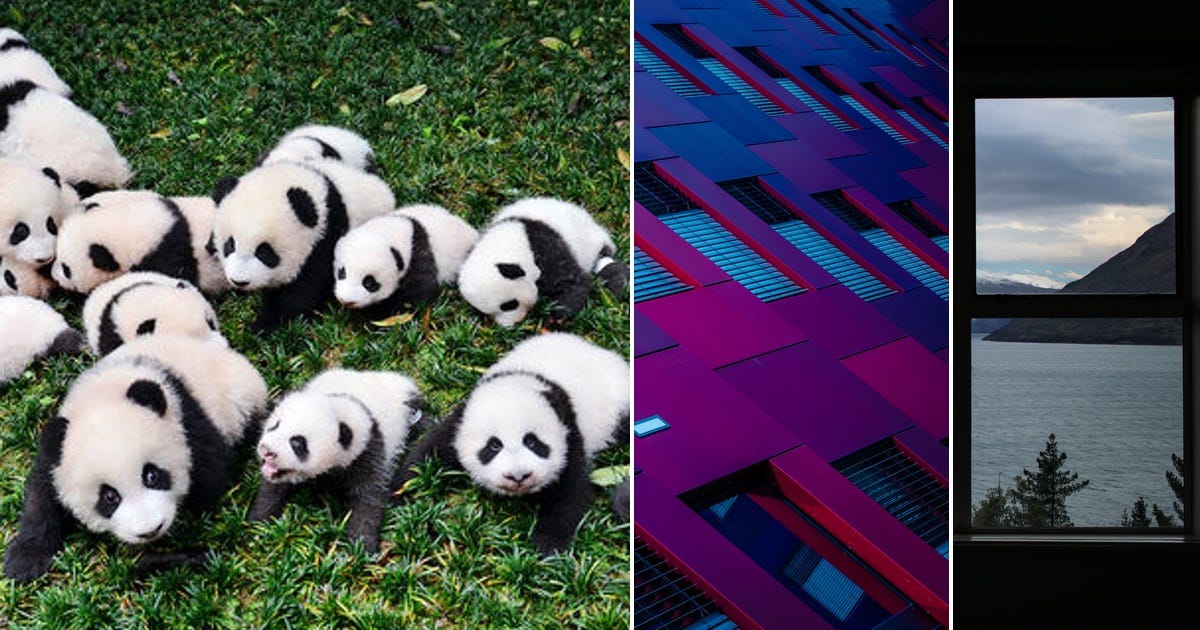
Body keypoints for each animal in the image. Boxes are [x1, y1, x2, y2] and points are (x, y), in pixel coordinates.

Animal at [1, 334, 268, 582]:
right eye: (109, 497)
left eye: (152, 475)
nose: (150, 530)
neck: (103, 396)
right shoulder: (57, 454)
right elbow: (41, 496)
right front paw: (23, 562)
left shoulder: (186, 418)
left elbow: (212, 476)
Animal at [211, 159, 395, 332]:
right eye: (230, 245)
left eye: (264, 253)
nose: (239, 281)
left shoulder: (325, 239)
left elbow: (300, 293)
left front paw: (263, 325)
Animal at [249, 368, 424, 552]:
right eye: (274, 426)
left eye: (297, 443)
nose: (266, 450)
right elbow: (272, 490)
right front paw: (258, 522)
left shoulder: (368, 450)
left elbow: (369, 497)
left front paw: (361, 546)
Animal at [395, 332, 629, 556]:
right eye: (494, 446)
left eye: (532, 441)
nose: (518, 477)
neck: (517, 382)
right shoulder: (461, 420)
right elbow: (428, 452)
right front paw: (398, 492)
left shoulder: (567, 427)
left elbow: (571, 488)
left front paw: (548, 546)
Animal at [457, 197, 629, 327]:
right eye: (486, 313)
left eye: (509, 304)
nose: (511, 325)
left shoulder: (547, 249)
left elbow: (575, 281)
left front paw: (557, 315)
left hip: (590, 243)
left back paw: (613, 289)